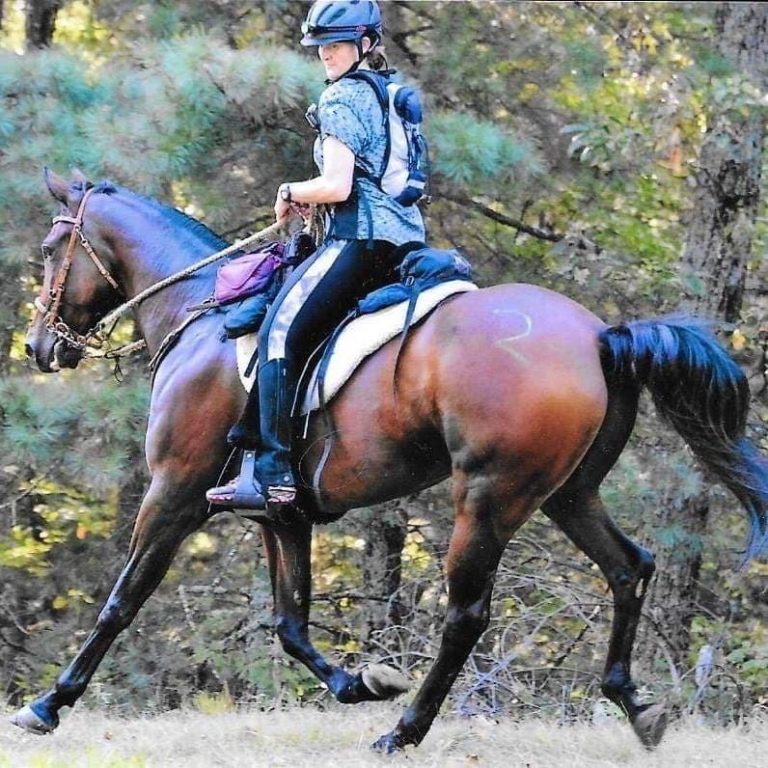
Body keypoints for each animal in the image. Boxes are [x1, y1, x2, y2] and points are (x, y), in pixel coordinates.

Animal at [15, 169, 768, 753]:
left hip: (488, 496)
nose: (37, 348)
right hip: (568, 494)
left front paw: (49, 704)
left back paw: (405, 731)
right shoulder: (281, 515)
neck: (202, 312)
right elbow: (290, 623)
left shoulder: (172, 493)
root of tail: (598, 336)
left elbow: (122, 601)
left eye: (53, 248)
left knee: (467, 614)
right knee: (629, 568)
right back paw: (638, 707)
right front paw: (359, 682)